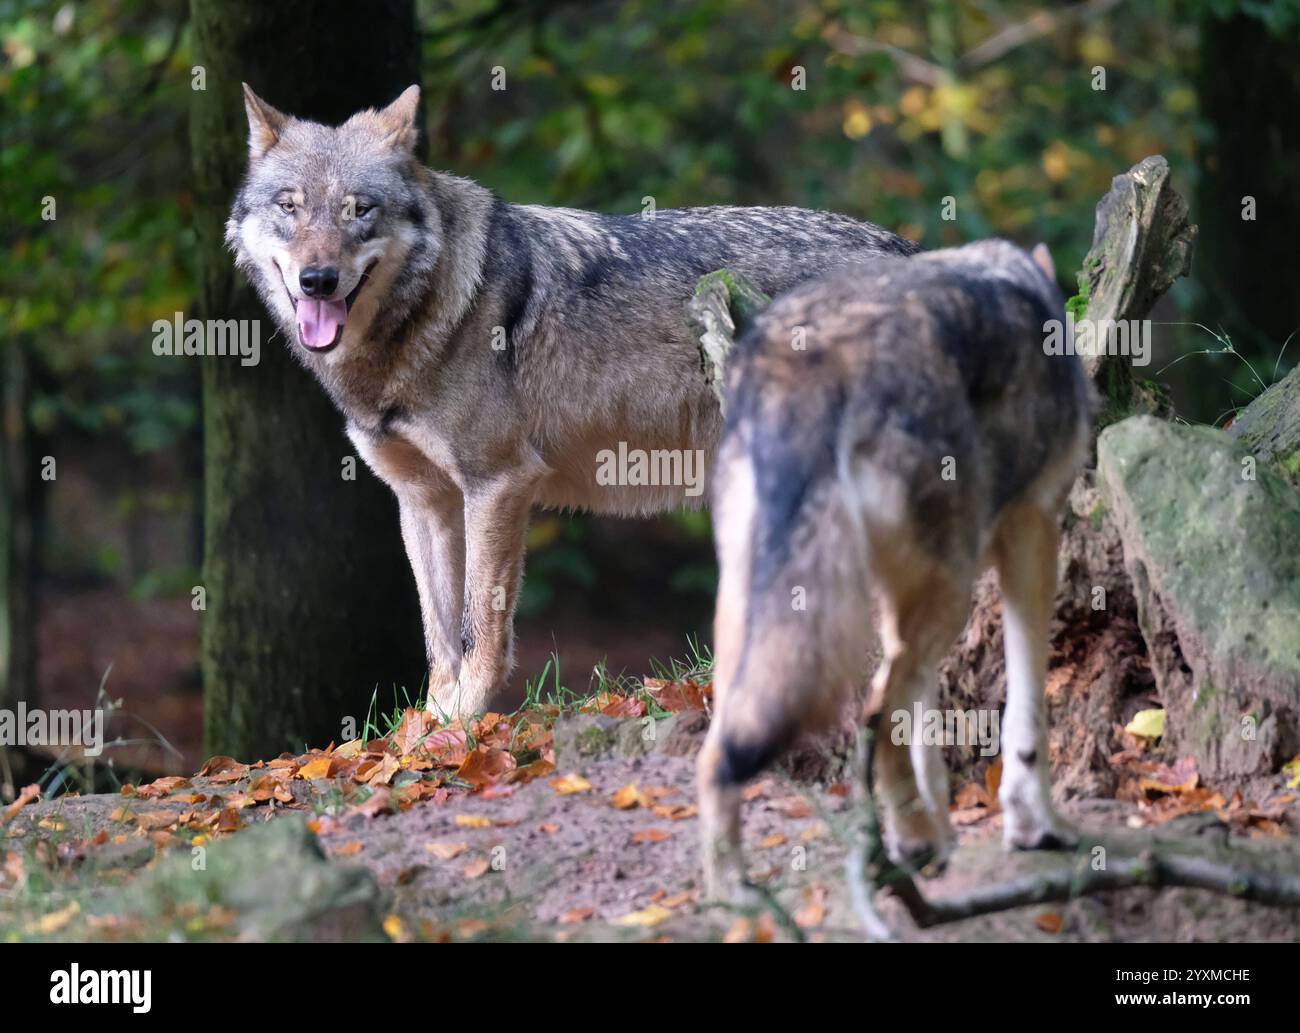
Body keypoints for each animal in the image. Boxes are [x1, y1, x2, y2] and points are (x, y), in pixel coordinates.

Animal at [226, 84, 917, 718]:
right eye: (290, 207)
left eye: (358, 210)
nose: (318, 281)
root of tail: (904, 248)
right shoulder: (423, 500)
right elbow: (439, 636)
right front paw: (426, 732)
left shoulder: (498, 483)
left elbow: (480, 625)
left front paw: (466, 725)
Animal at [696, 240, 1094, 902]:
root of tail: (813, 358)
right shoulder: (1033, 530)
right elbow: (1027, 708)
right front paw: (1035, 825)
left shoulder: (900, 595)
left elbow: (926, 724)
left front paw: (948, 821)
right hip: (950, 588)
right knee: (874, 718)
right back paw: (913, 843)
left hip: (764, 614)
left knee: (720, 748)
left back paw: (736, 892)